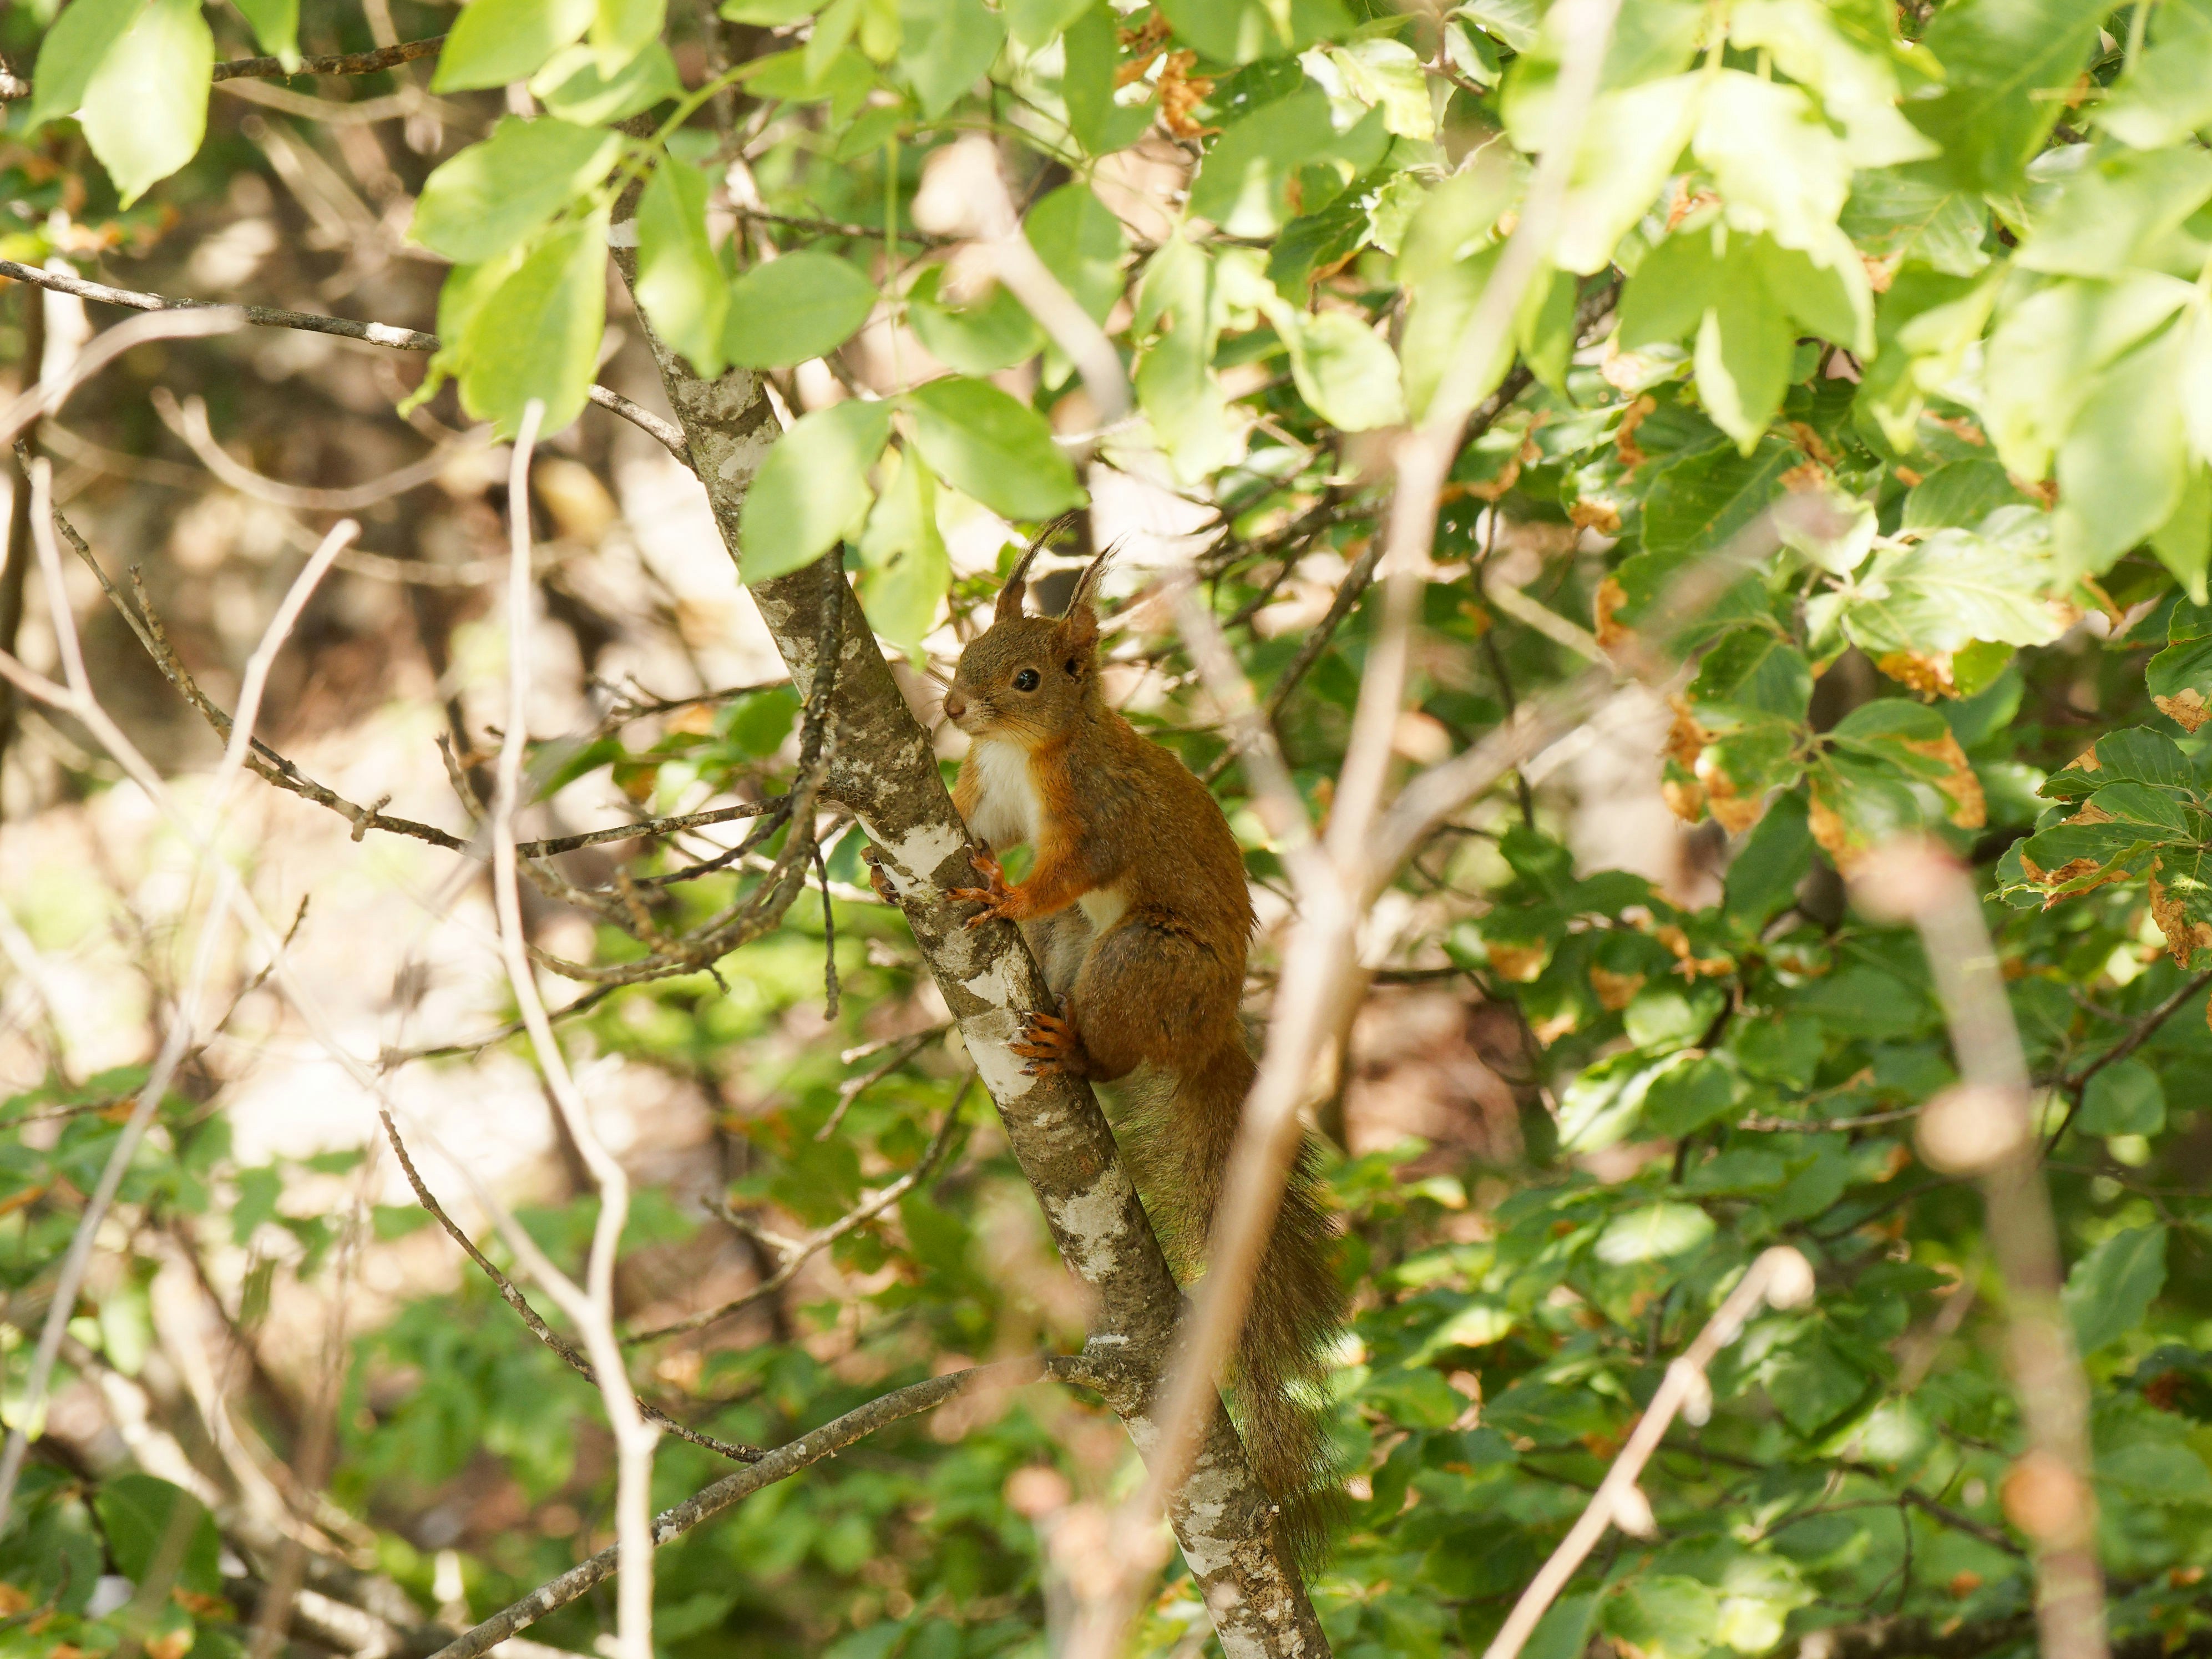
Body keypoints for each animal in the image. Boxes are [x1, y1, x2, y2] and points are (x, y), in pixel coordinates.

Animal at [935, 537, 1343, 1564]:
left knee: (1113, 1036)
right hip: (1081, 946)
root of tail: (1208, 1032)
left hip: (1138, 959)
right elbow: (975, 832)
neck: (1024, 751)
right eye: (966, 649)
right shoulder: (983, 803)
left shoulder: (1093, 816)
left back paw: (1076, 1053)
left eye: (1028, 678)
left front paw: (1004, 897)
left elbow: (1066, 868)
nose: (954, 710)